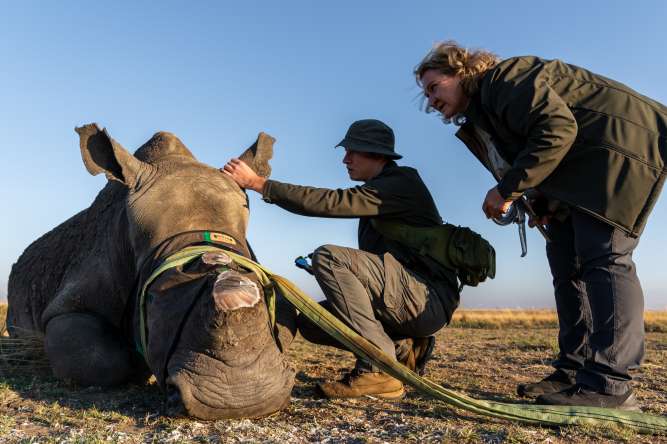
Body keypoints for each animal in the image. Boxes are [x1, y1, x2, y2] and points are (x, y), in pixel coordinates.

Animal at [6, 124, 297, 419]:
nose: (241, 400)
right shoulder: (68, 303)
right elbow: (101, 359)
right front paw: (139, 366)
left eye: (270, 293)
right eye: (152, 301)